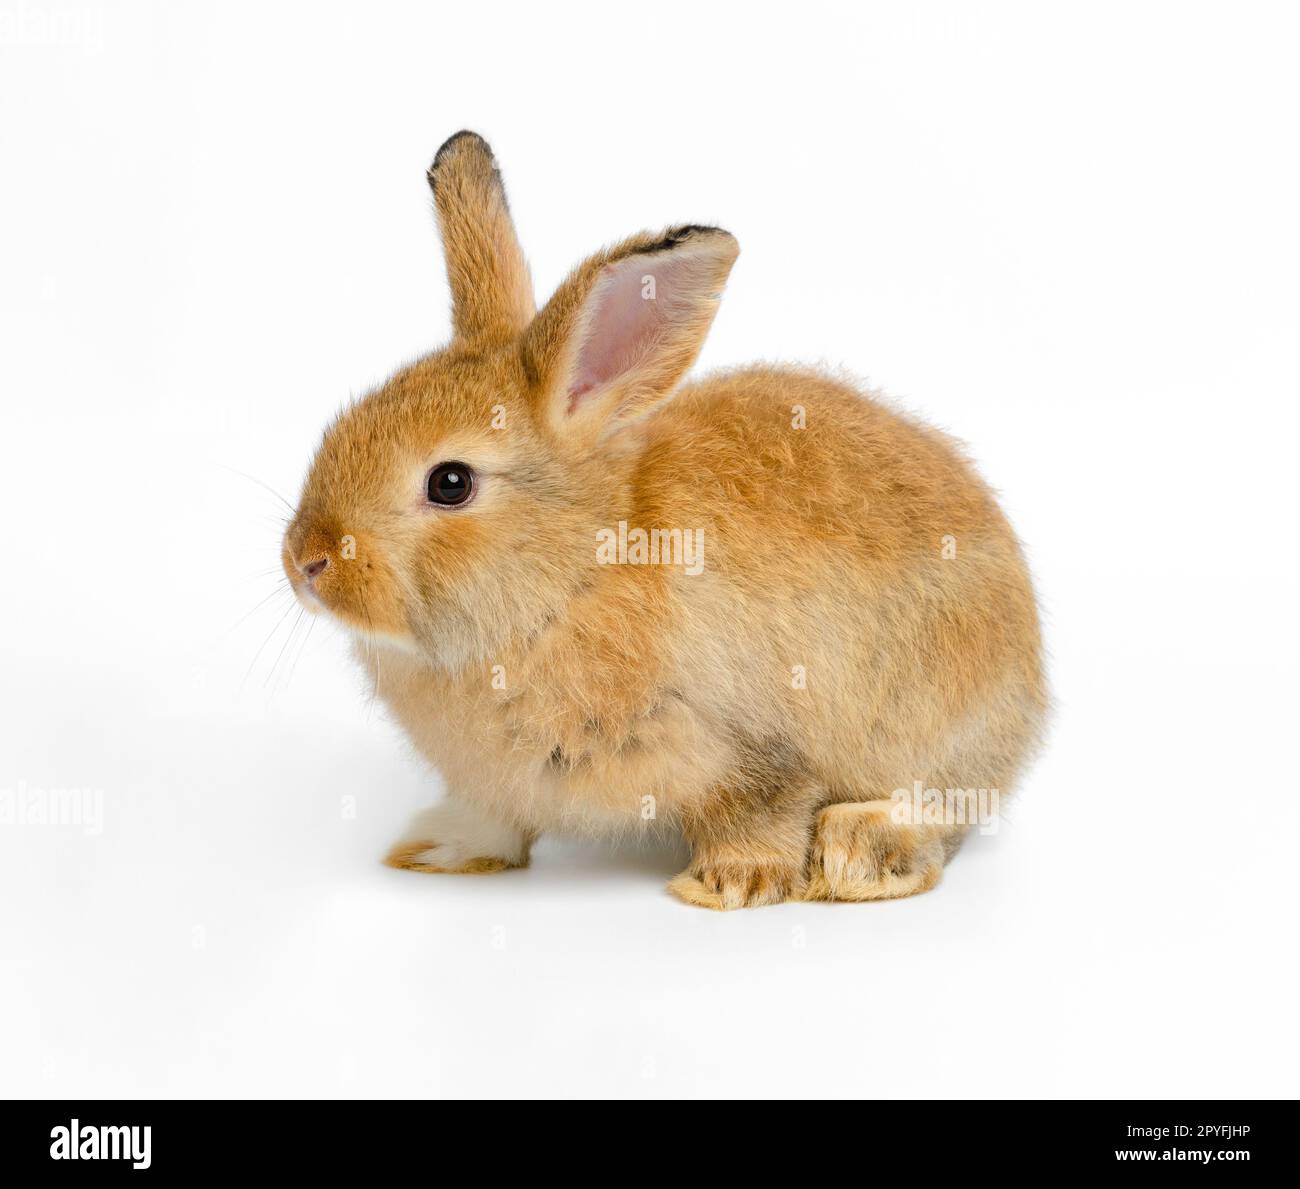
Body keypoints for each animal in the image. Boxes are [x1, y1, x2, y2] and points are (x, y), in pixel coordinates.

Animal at [282, 130, 1048, 910]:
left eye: (450, 483)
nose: (306, 560)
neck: (572, 581)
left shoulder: (750, 741)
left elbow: (760, 807)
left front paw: (728, 883)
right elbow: (494, 819)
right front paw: (436, 851)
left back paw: (859, 856)